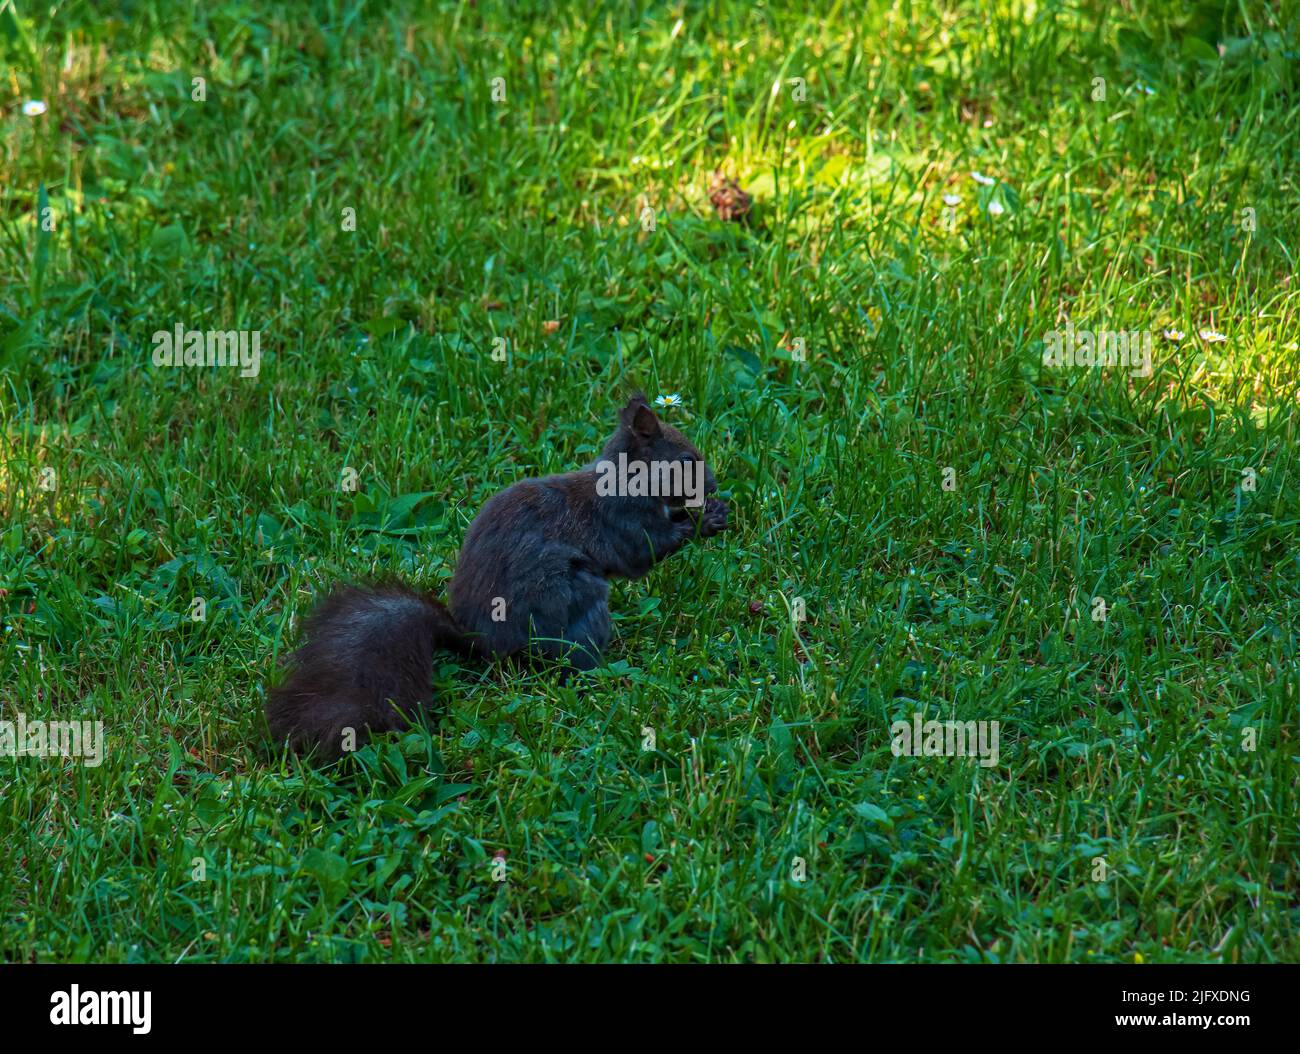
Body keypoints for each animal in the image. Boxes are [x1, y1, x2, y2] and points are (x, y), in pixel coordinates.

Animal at [266, 394, 729, 758]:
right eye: (687, 461)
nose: (712, 484)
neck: (622, 481)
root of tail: (482, 643)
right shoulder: (624, 522)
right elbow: (645, 552)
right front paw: (702, 521)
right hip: (572, 600)